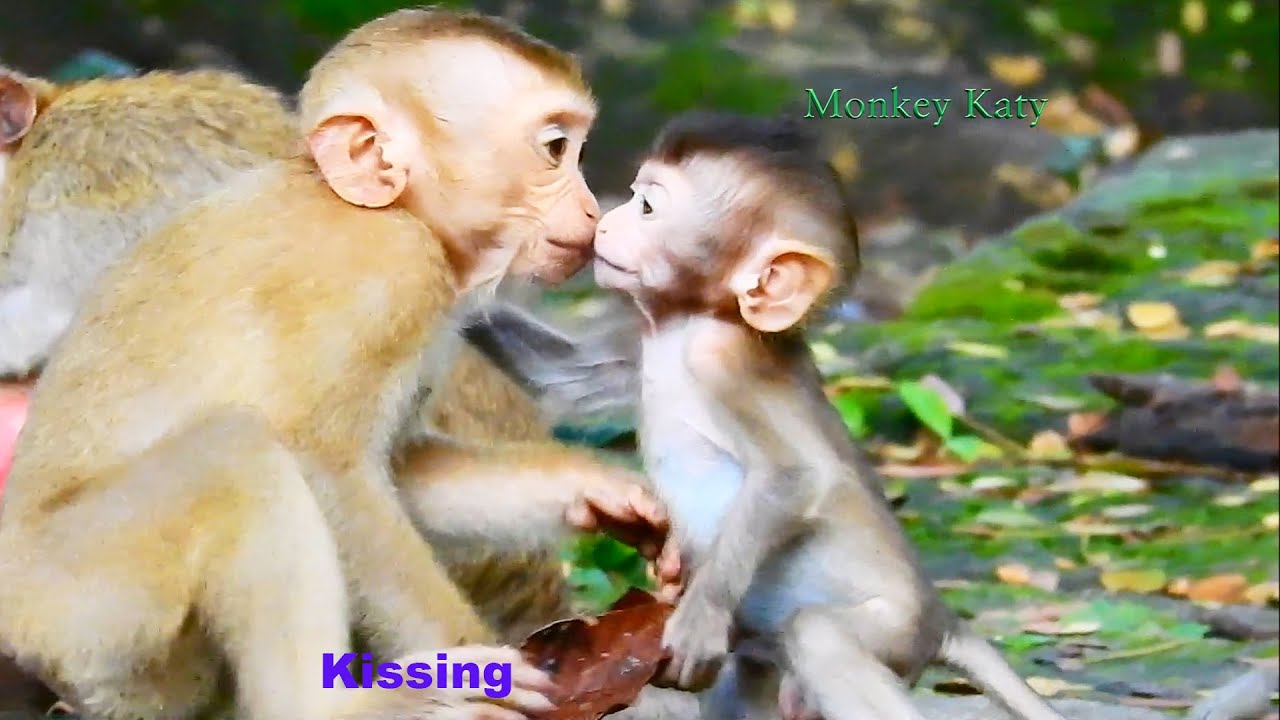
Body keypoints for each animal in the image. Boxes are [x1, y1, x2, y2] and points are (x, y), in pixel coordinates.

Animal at [574, 111, 1071, 720]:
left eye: (646, 206)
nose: (602, 222)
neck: (687, 322)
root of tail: (939, 616)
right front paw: (661, 558)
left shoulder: (722, 362)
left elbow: (795, 478)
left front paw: (700, 614)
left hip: (892, 627)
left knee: (818, 633)